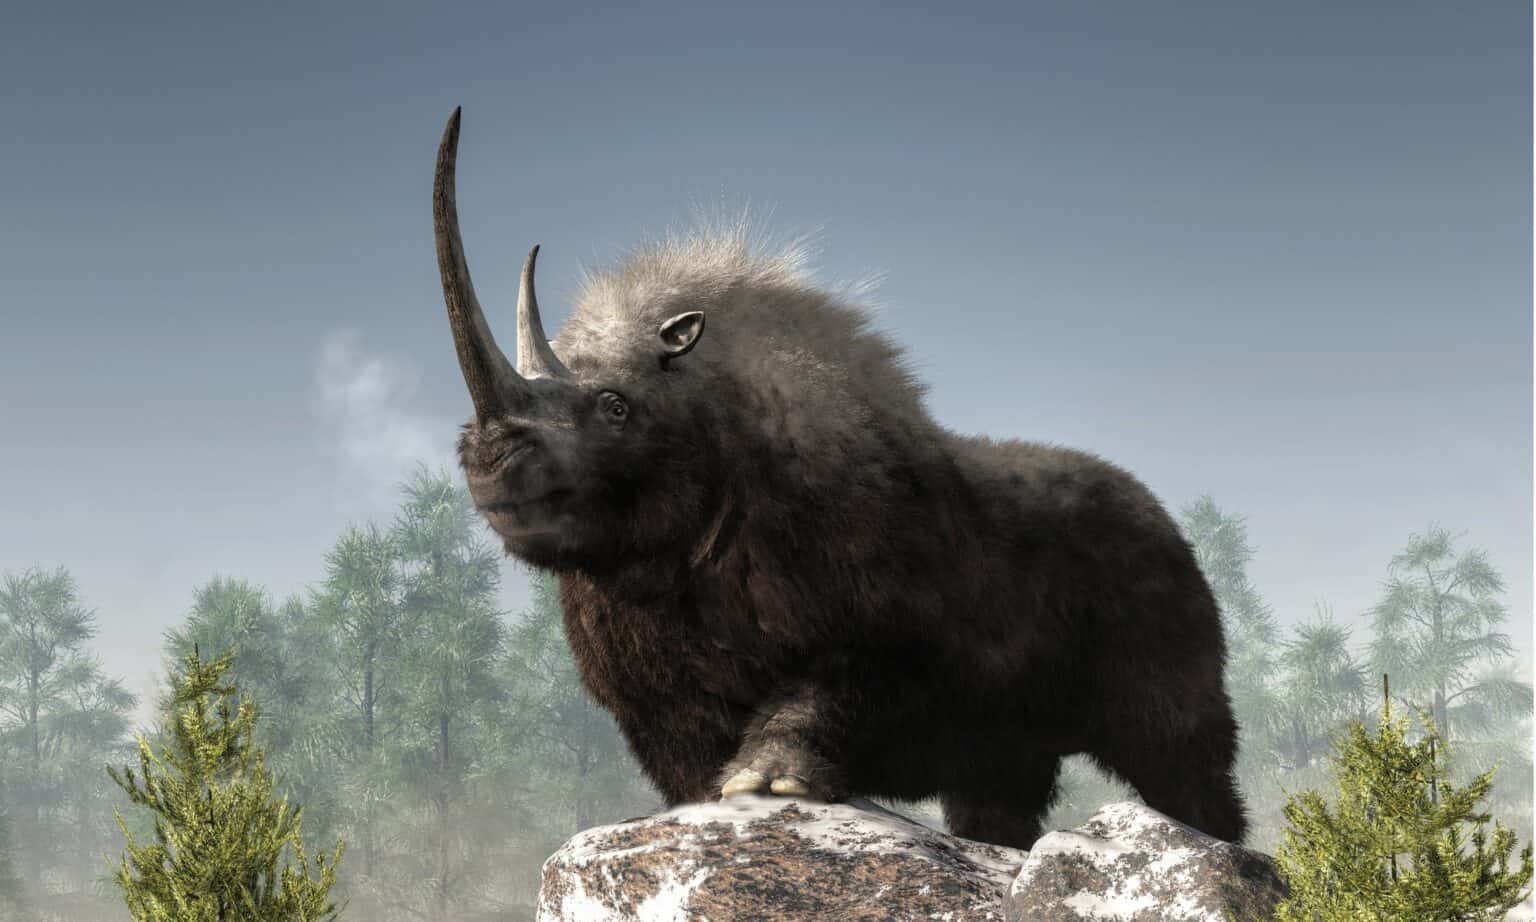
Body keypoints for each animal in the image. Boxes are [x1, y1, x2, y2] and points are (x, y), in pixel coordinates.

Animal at [432, 108, 1247, 848]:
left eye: (614, 406)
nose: (489, 459)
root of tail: (1165, 515)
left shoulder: (888, 632)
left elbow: (823, 695)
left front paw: (768, 784)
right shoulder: (651, 697)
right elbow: (692, 767)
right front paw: (715, 800)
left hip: (1162, 577)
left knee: (1177, 750)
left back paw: (1217, 844)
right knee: (1003, 778)